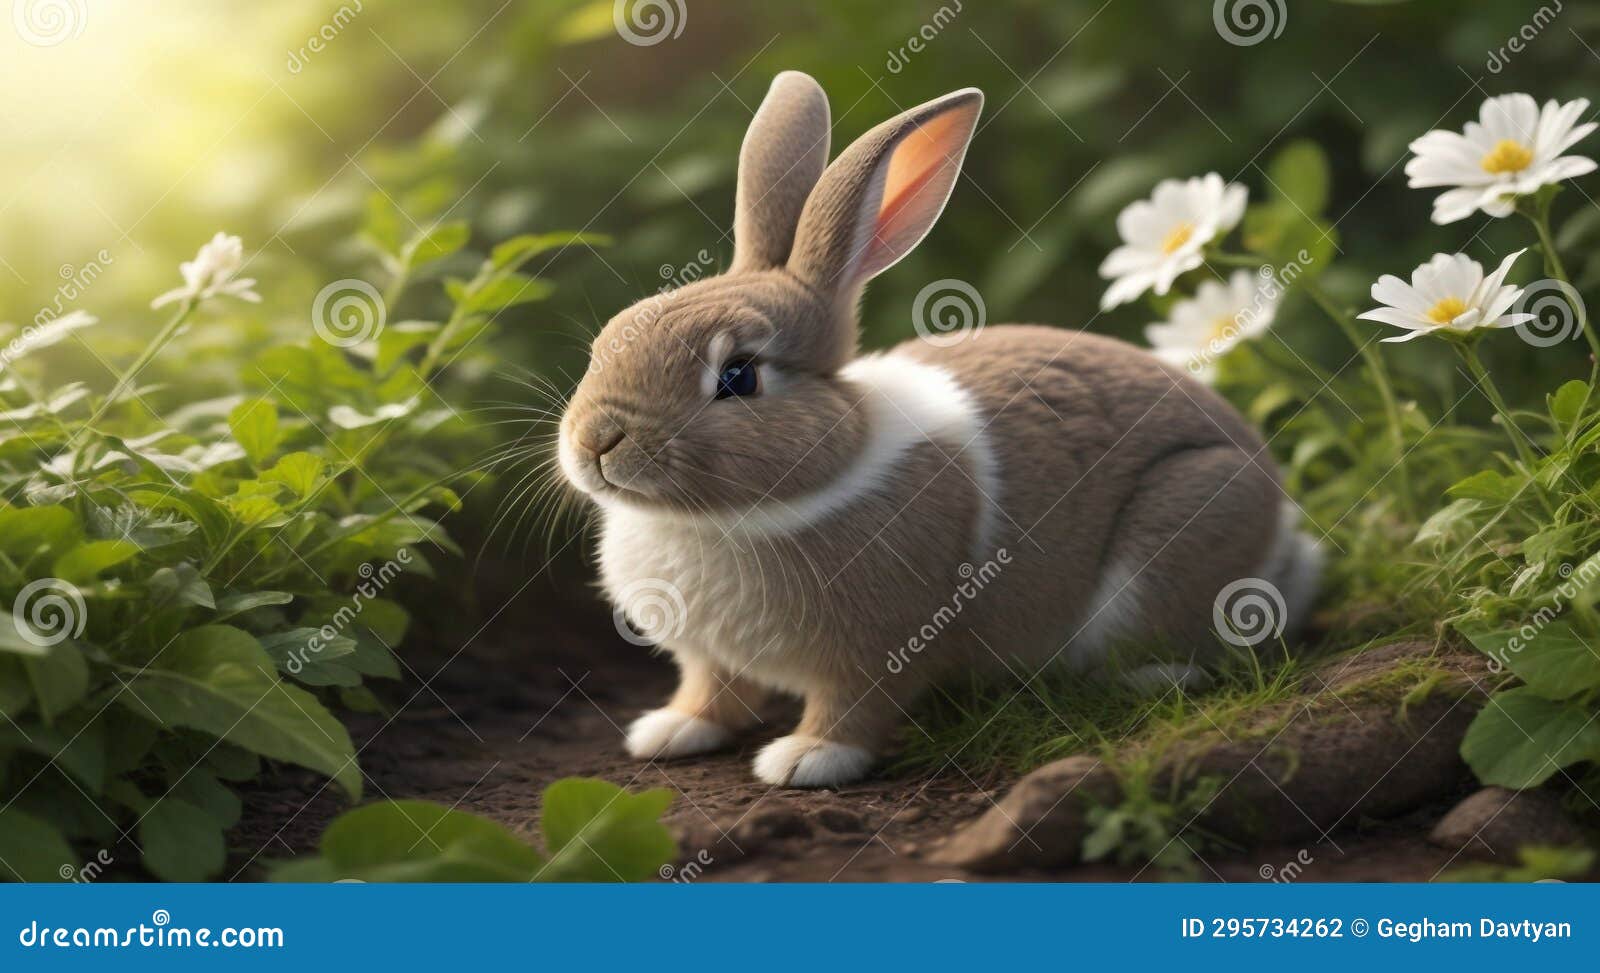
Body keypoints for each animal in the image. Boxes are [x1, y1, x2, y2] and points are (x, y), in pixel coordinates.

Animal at [556, 70, 1322, 788]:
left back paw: (1148, 677)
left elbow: (853, 707)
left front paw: (806, 760)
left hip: (1186, 518)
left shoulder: (876, 648)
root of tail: (1282, 528)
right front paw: (669, 731)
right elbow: (710, 689)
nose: (597, 442)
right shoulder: (710, 658)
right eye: (613, 333)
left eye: (739, 376)